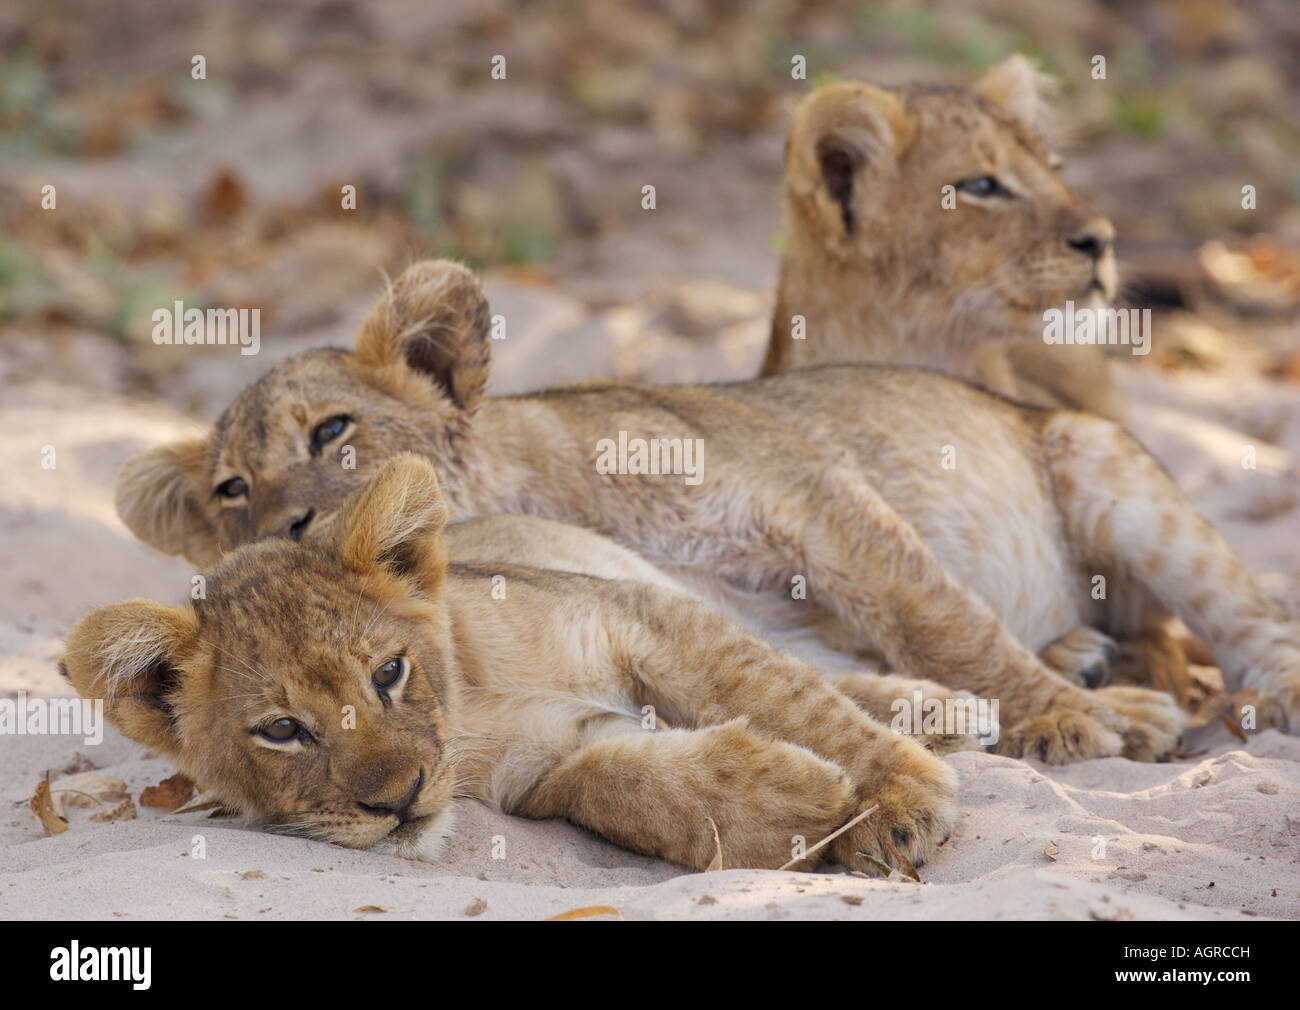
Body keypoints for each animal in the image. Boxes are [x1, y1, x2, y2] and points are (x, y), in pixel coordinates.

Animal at [64, 454, 962, 872]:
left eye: (387, 673)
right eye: (282, 731)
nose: (397, 803)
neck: (472, 709)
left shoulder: (636, 614)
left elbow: (788, 700)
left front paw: (901, 802)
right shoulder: (552, 761)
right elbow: (635, 787)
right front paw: (804, 806)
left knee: (807, 667)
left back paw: (949, 712)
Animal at [114, 260, 1300, 757]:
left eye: (331, 431)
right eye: (230, 491)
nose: (279, 527)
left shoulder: (814, 500)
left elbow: (938, 618)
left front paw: (1056, 719)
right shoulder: (723, 606)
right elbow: (835, 673)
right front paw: (1001, 709)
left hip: (1097, 456)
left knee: (1243, 612)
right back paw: (1092, 664)